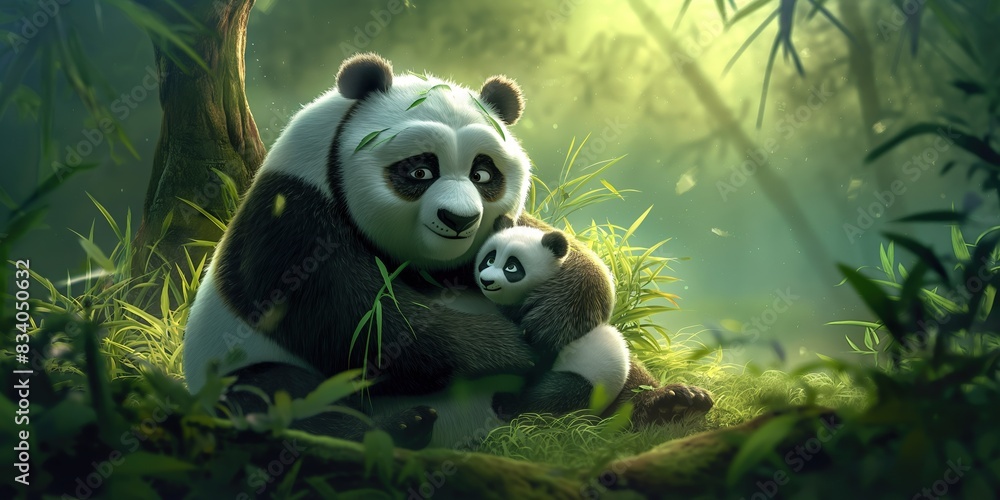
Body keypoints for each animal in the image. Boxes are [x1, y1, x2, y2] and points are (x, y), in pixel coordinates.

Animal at [474, 216, 631, 417]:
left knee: (554, 394)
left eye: (512, 267)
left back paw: (507, 403)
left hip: (589, 380)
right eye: (490, 259)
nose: (486, 281)